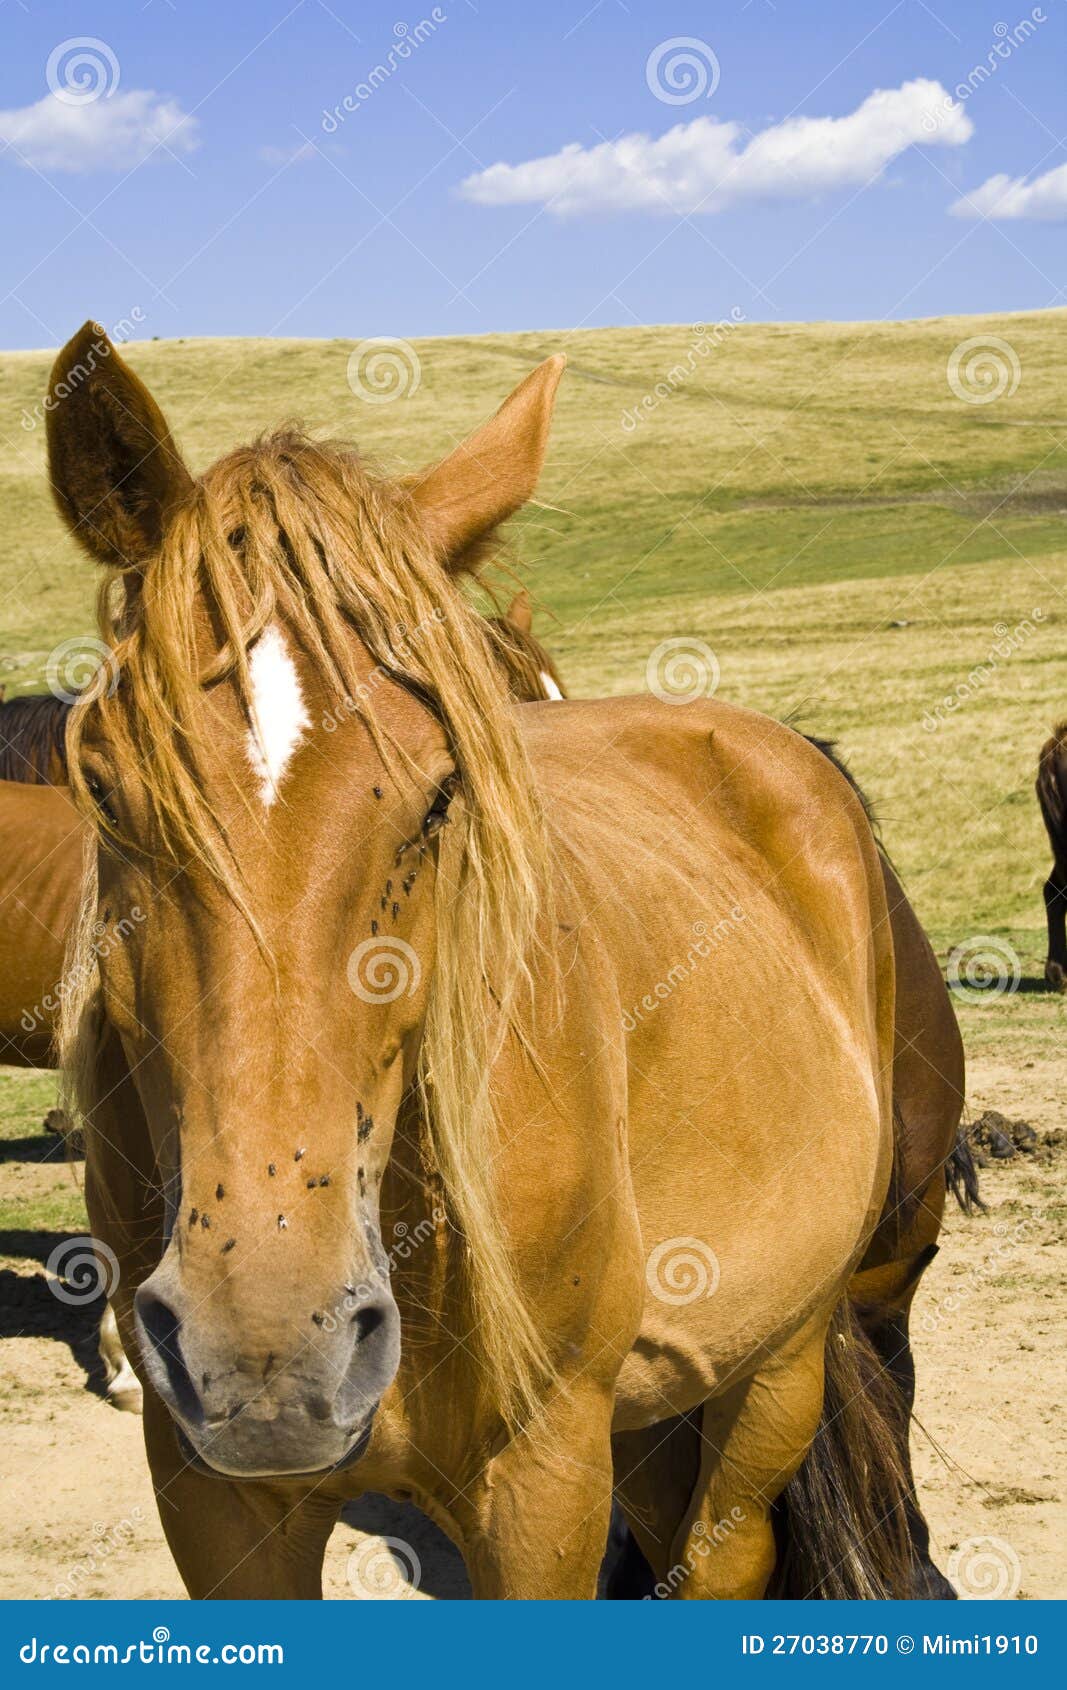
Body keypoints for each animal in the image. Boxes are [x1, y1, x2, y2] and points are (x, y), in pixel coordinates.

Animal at [51, 323, 918, 1601]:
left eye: (438, 793)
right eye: (105, 791)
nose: (266, 1343)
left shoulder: (540, 1478)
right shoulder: (215, 1499)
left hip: (777, 1363)